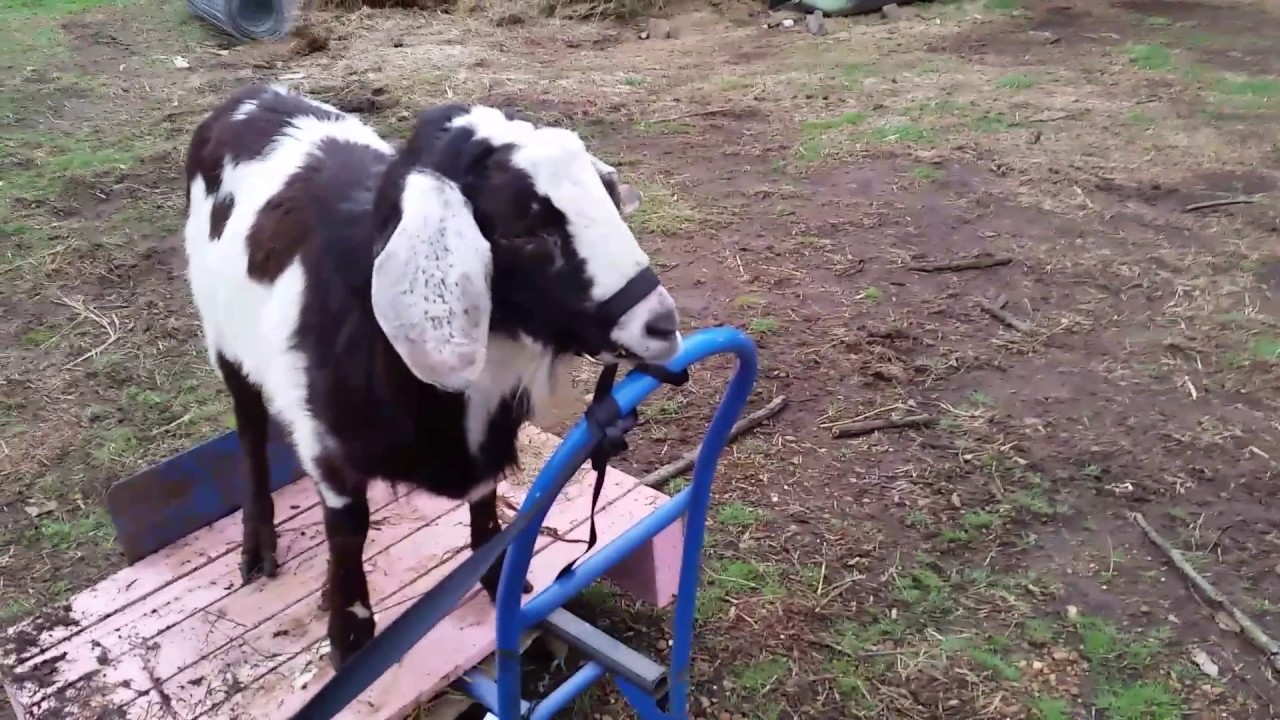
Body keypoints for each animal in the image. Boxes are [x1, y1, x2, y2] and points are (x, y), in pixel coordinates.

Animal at [182, 83, 682, 668]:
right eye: (526, 230)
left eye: (607, 197)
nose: (662, 325)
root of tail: (250, 95)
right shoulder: (330, 452)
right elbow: (347, 533)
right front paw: (350, 636)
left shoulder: (489, 442)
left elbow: (485, 507)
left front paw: (497, 581)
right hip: (222, 337)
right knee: (250, 431)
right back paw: (258, 545)